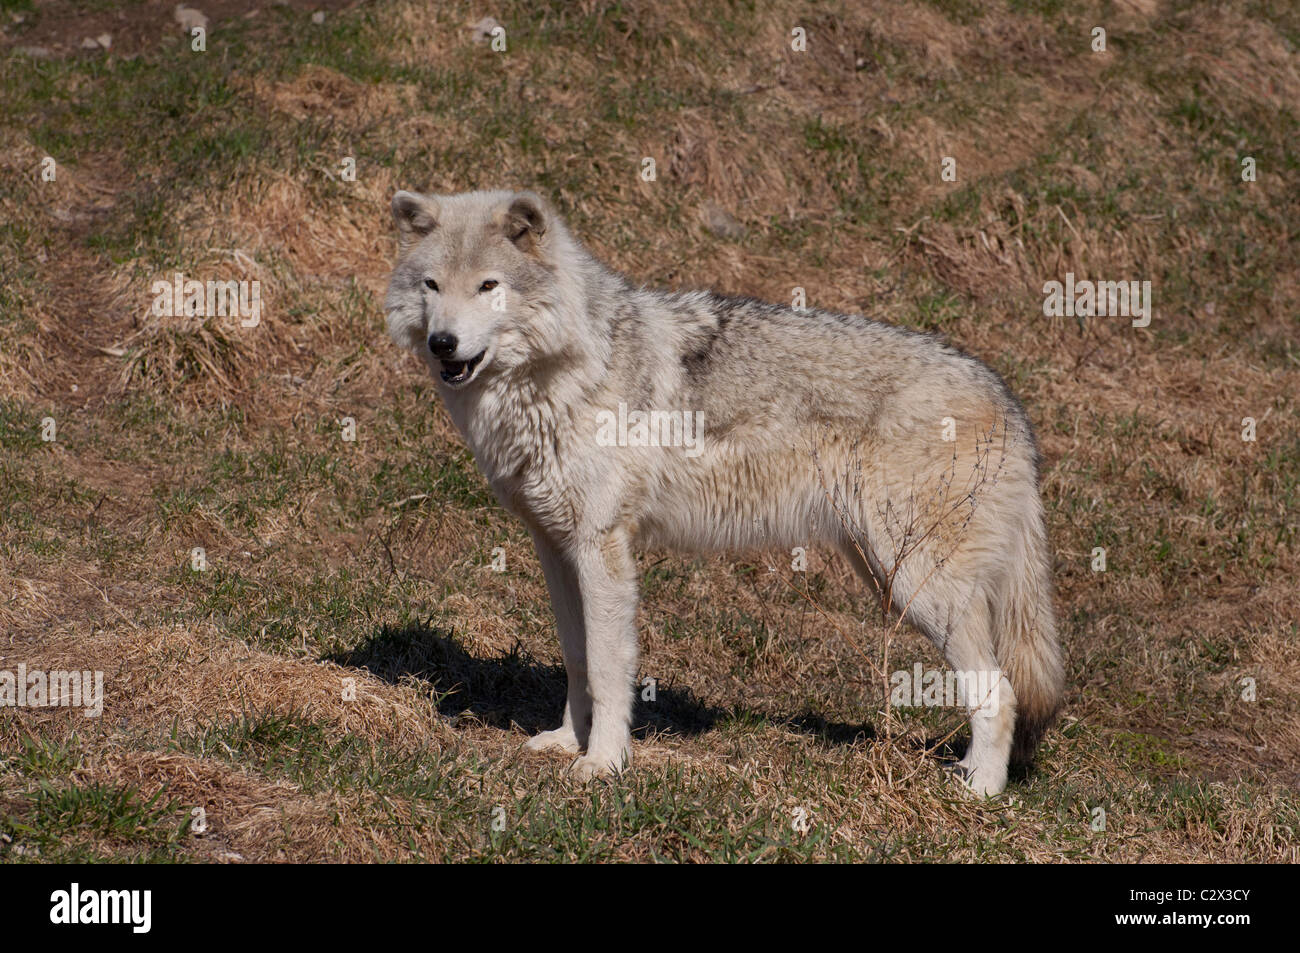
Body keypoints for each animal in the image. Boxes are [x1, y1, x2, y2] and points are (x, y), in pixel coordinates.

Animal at [384, 189, 1064, 796]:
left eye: (488, 286)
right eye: (432, 286)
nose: (443, 343)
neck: (563, 373)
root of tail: (1010, 401)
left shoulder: (603, 550)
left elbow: (608, 667)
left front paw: (603, 764)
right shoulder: (557, 548)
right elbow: (577, 660)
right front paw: (567, 742)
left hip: (916, 582)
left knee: (1000, 691)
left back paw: (980, 790)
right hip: (888, 573)